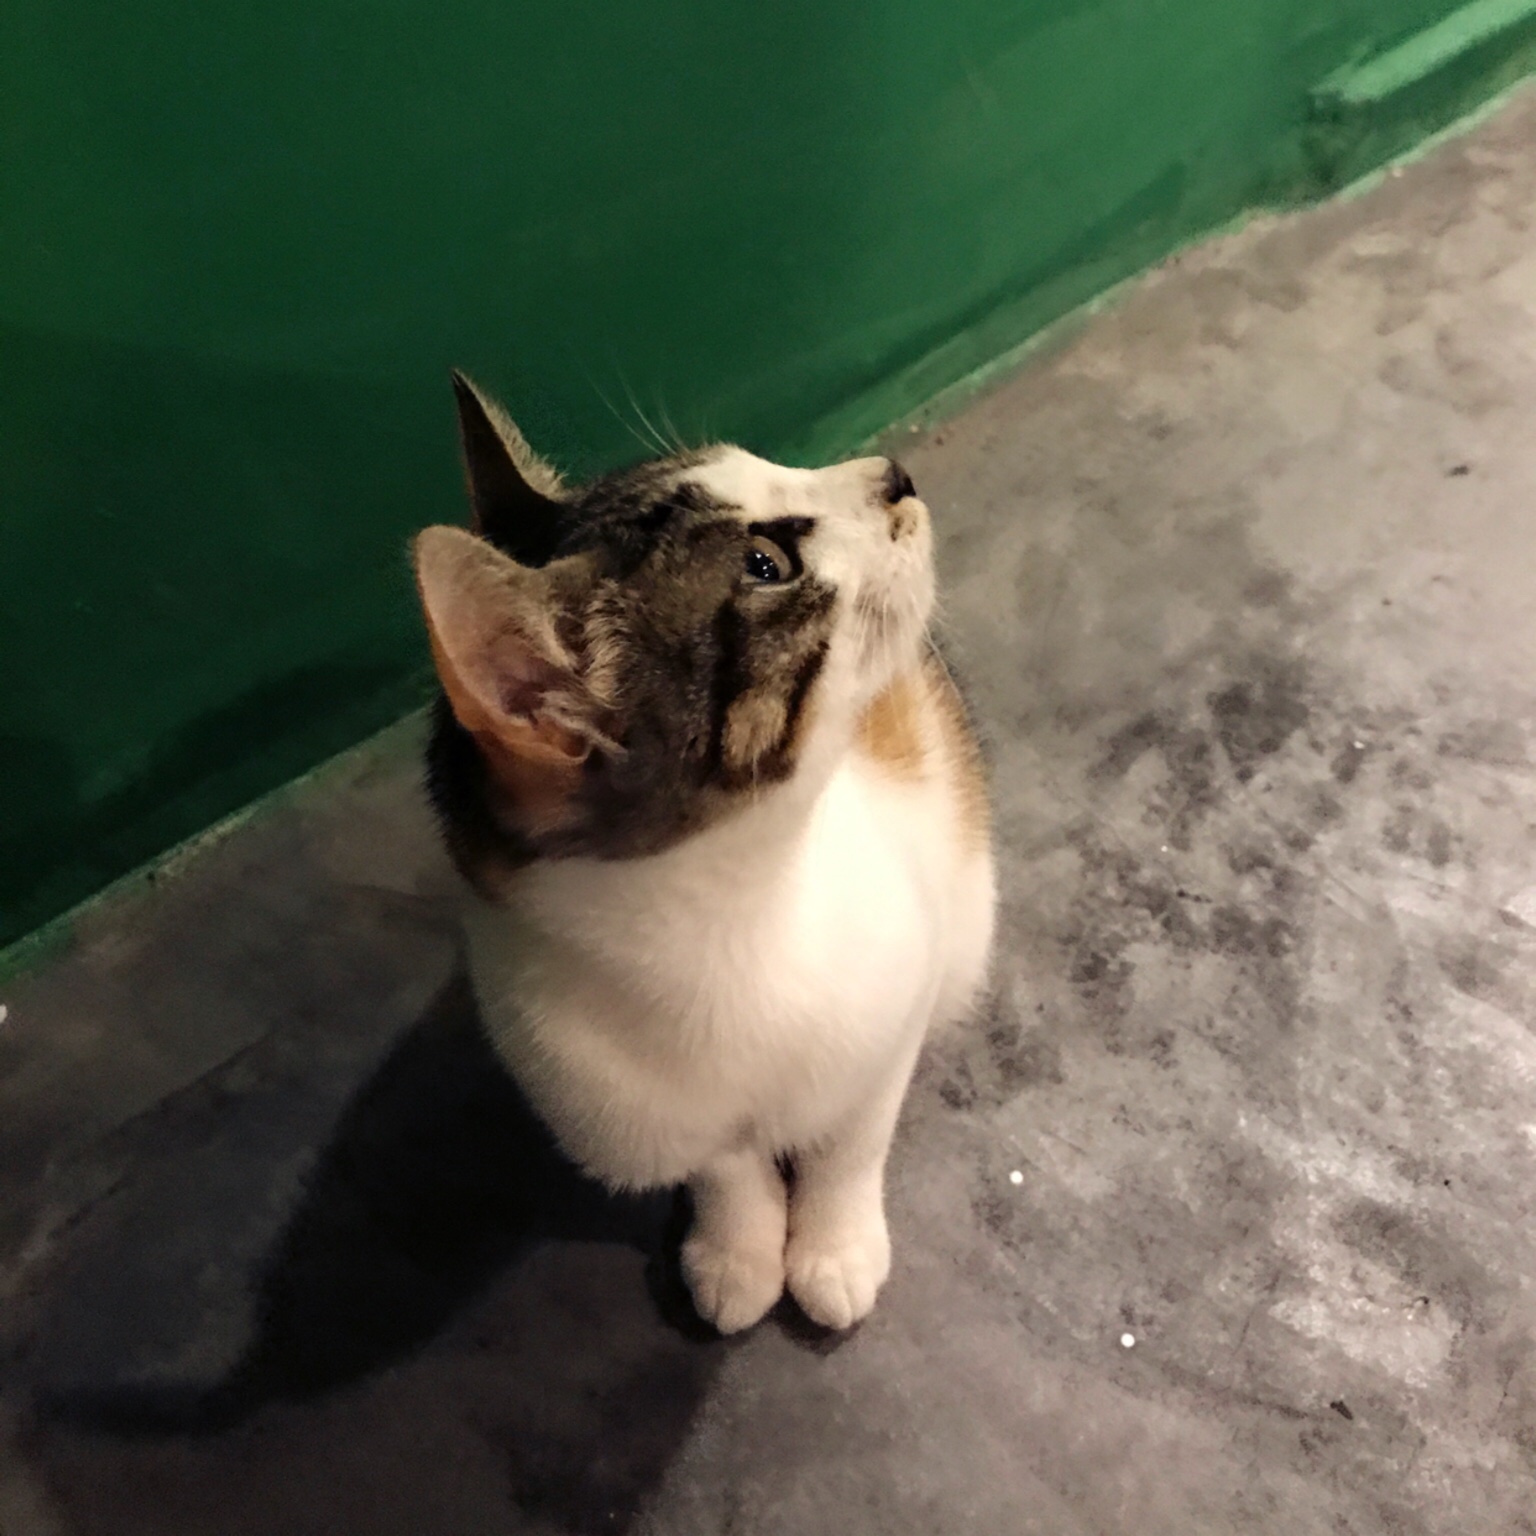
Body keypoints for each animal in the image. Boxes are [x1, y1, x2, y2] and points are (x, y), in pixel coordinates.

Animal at [412, 373, 996, 1333]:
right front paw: (738, 1248)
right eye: (764, 566)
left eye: (763, 461)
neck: (730, 923)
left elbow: (853, 1136)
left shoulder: (895, 998)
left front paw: (834, 1245)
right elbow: (724, 1162)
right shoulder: (632, 1098)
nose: (893, 474)